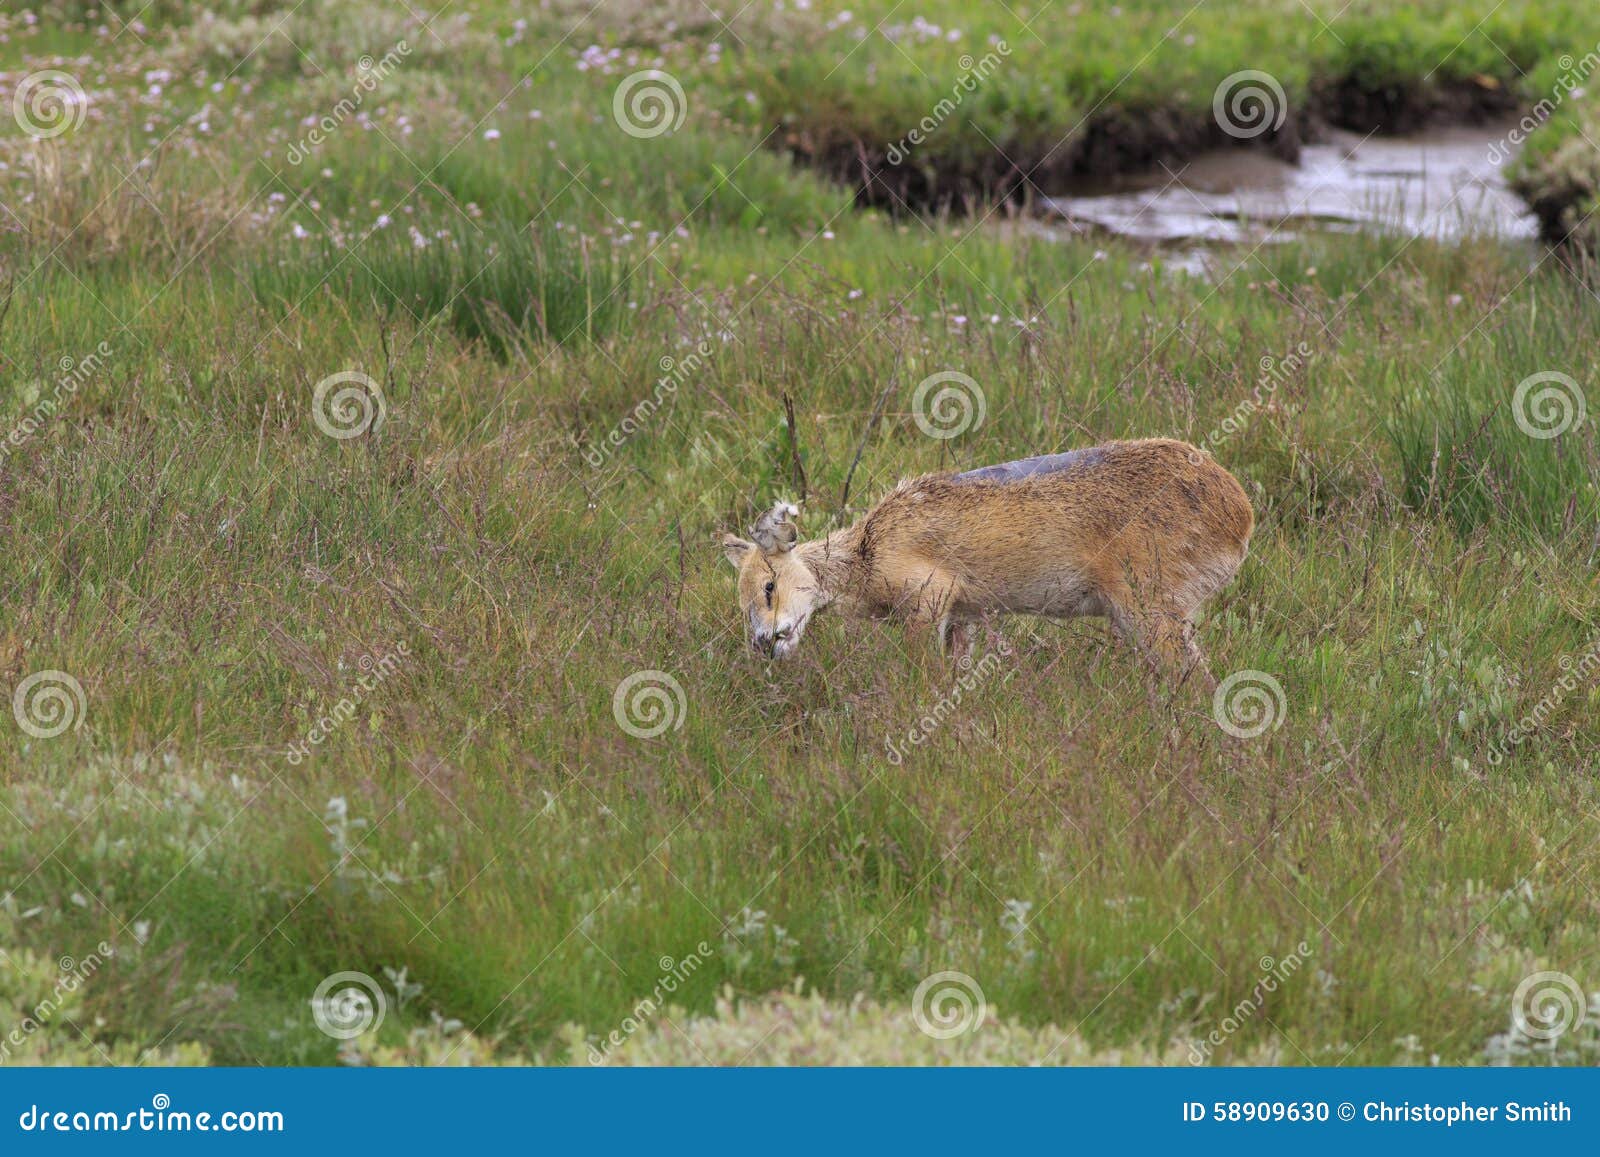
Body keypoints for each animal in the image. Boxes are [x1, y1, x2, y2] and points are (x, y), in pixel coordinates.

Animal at [720, 438, 1253, 687]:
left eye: (769, 586)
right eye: (742, 601)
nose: (765, 643)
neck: (867, 553)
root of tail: (1239, 512)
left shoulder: (929, 600)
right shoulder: (966, 617)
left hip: (1150, 611)